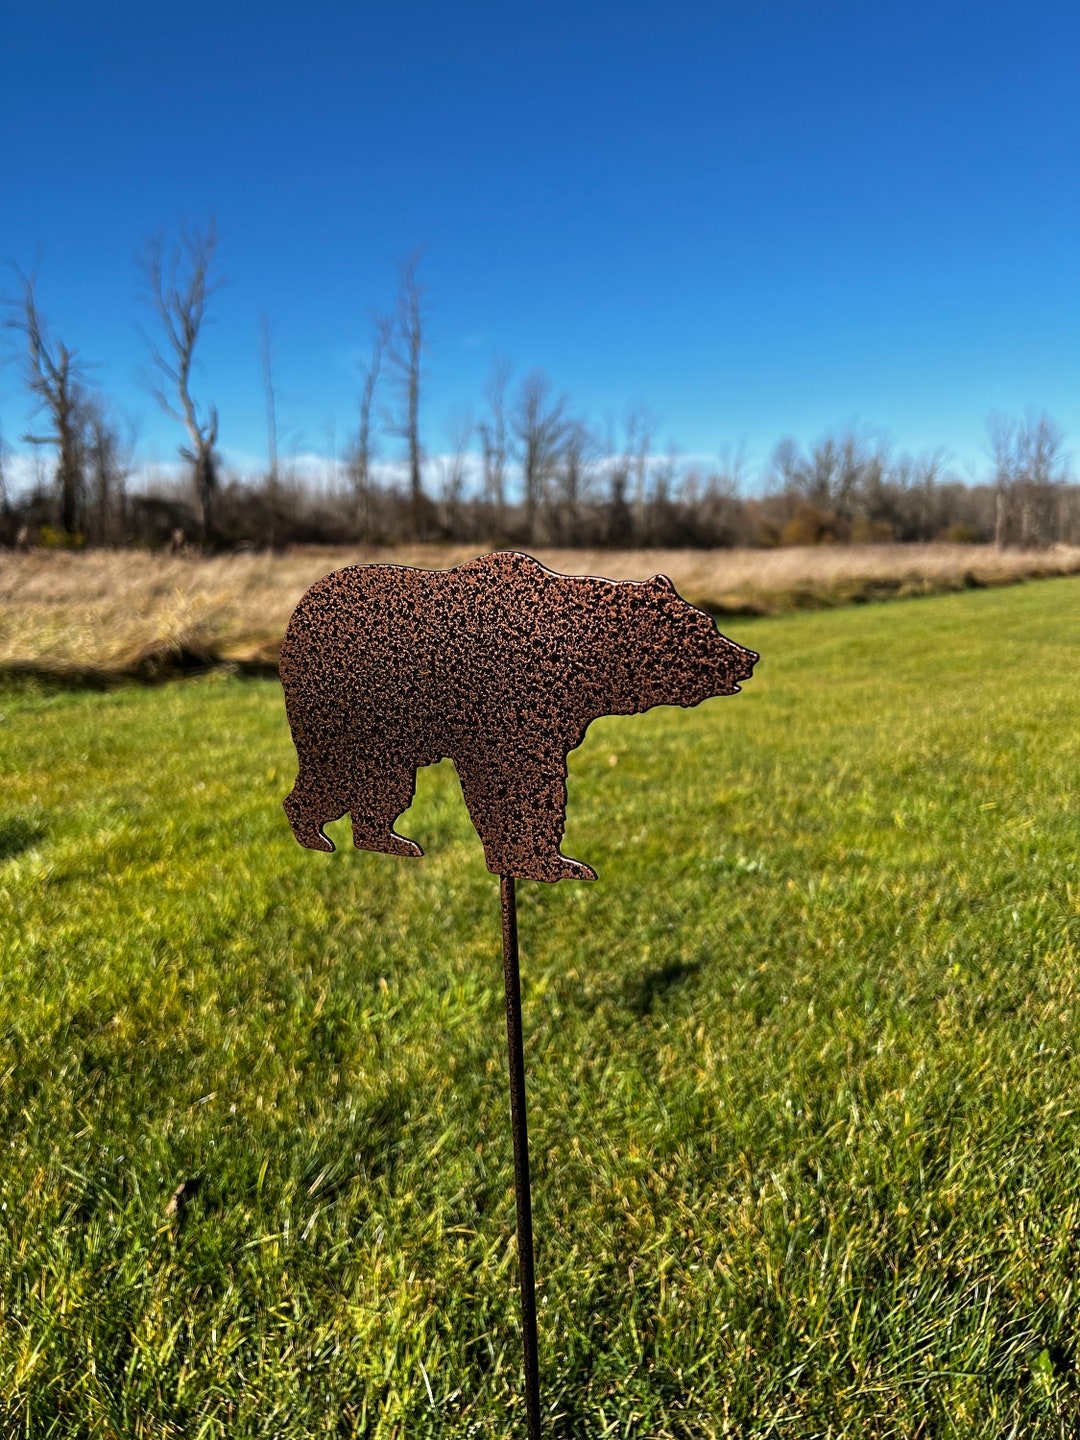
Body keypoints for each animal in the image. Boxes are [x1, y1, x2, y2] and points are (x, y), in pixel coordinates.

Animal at [280, 550, 757, 882]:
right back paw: (314, 834)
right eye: (705, 628)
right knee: (333, 770)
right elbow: (514, 783)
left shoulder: (556, 718)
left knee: (383, 785)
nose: (749, 657)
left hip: (388, 736)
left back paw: (390, 841)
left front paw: (558, 861)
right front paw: (541, 862)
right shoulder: (506, 712)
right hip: (344, 710)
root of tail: (298, 611)